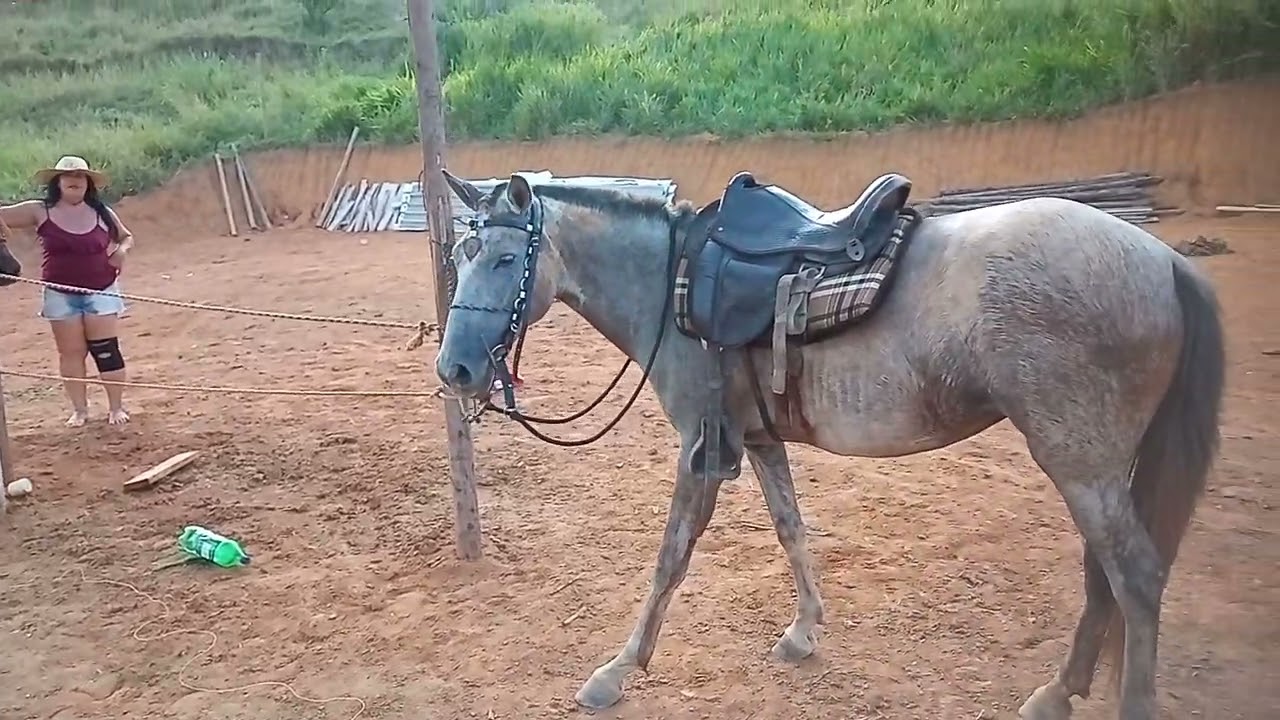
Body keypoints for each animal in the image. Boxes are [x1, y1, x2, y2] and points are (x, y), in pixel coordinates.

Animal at [433, 168, 1224, 720]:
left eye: (502, 261)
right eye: (460, 255)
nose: (456, 369)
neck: (672, 284)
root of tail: (1163, 259)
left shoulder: (700, 447)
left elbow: (669, 560)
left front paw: (617, 671)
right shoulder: (756, 439)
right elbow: (791, 528)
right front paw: (804, 632)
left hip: (1080, 461)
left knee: (1135, 577)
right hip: (1093, 464)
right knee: (1105, 575)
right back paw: (1059, 693)